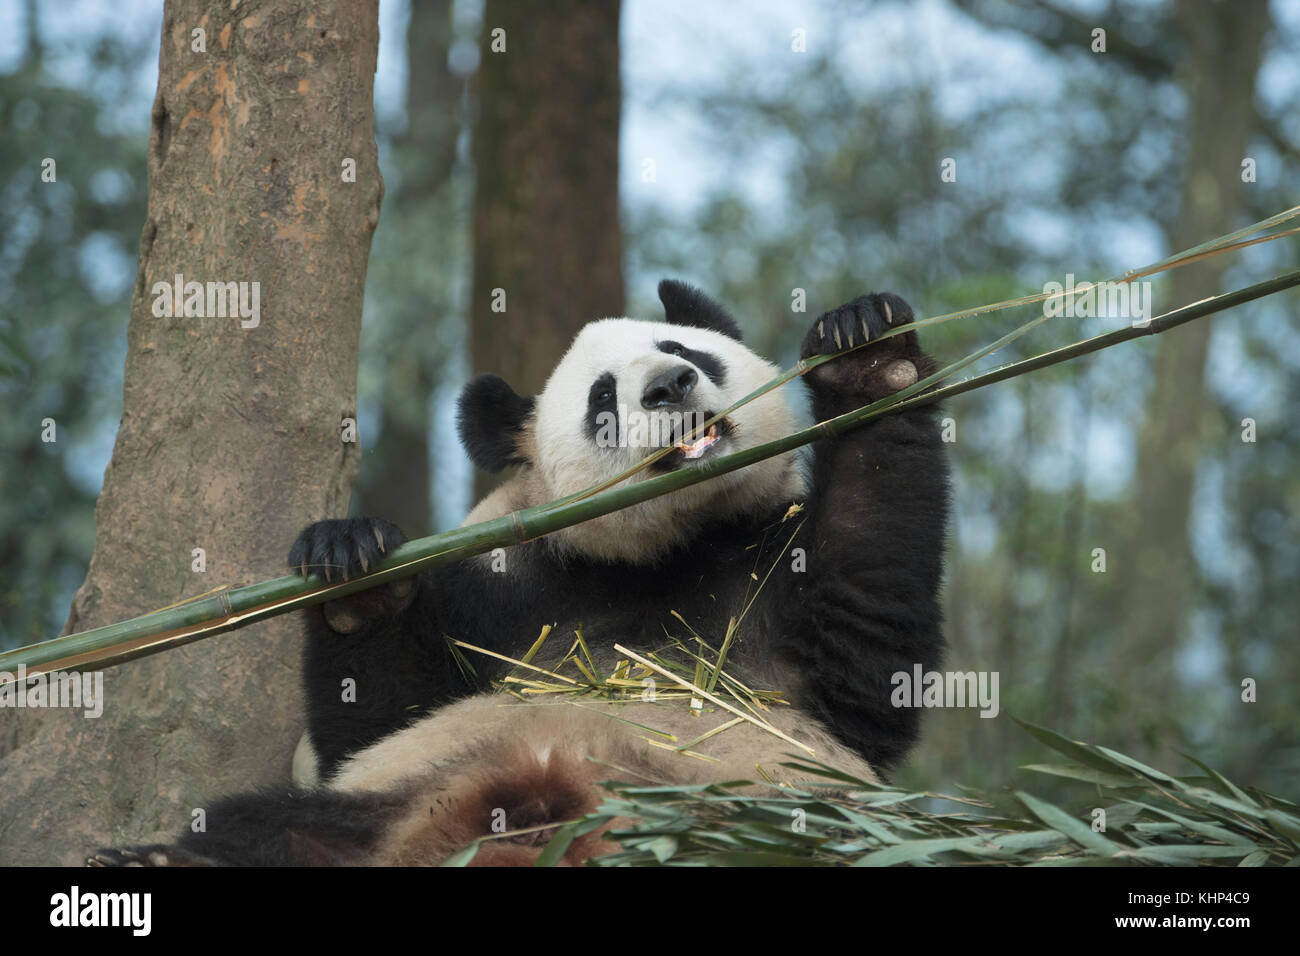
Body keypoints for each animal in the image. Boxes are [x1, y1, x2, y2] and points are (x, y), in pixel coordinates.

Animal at [88, 279, 949, 867]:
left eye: (685, 352)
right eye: (602, 399)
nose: (669, 389)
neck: (659, 551)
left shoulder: (773, 584)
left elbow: (865, 638)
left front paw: (867, 351)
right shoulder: (493, 589)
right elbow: (371, 724)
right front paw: (355, 570)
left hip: (774, 824)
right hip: (399, 799)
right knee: (266, 827)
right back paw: (156, 857)